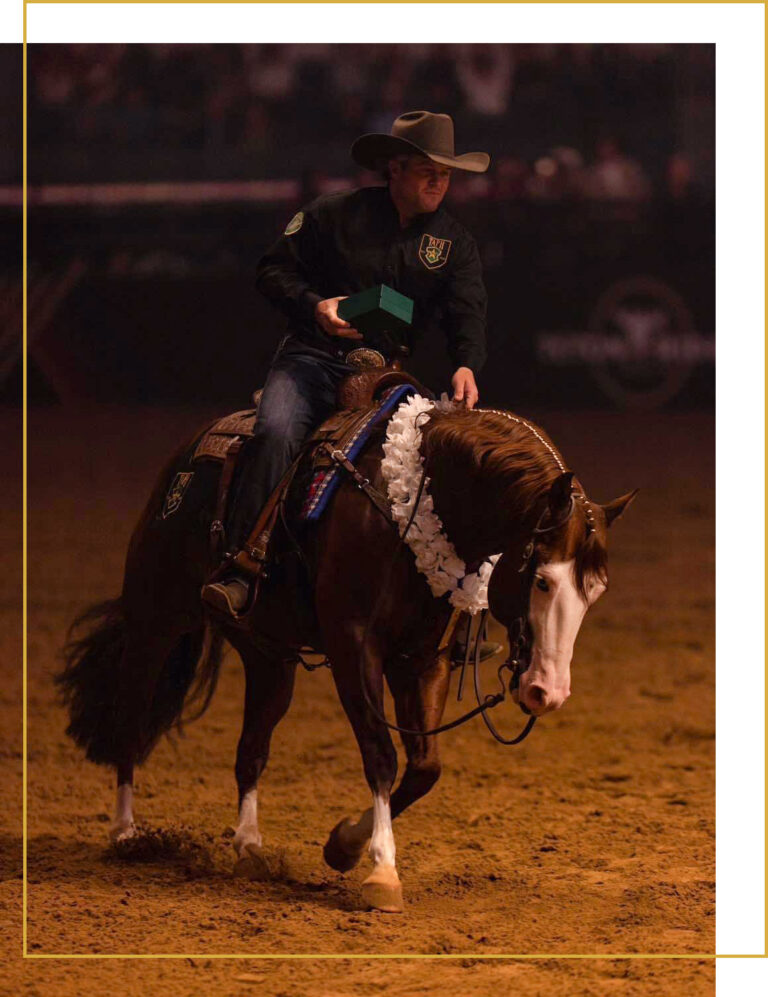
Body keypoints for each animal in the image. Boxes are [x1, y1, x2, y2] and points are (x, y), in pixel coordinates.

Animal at [57, 395, 636, 913]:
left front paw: (343, 846)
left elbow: (424, 767)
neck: (412, 507)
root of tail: (184, 462)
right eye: (541, 580)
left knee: (252, 747)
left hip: (270, 659)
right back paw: (126, 832)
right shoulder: (355, 649)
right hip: (155, 621)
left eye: (595, 592)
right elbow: (381, 754)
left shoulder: (422, 660)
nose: (547, 692)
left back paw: (248, 846)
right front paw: (381, 872)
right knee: (131, 716)